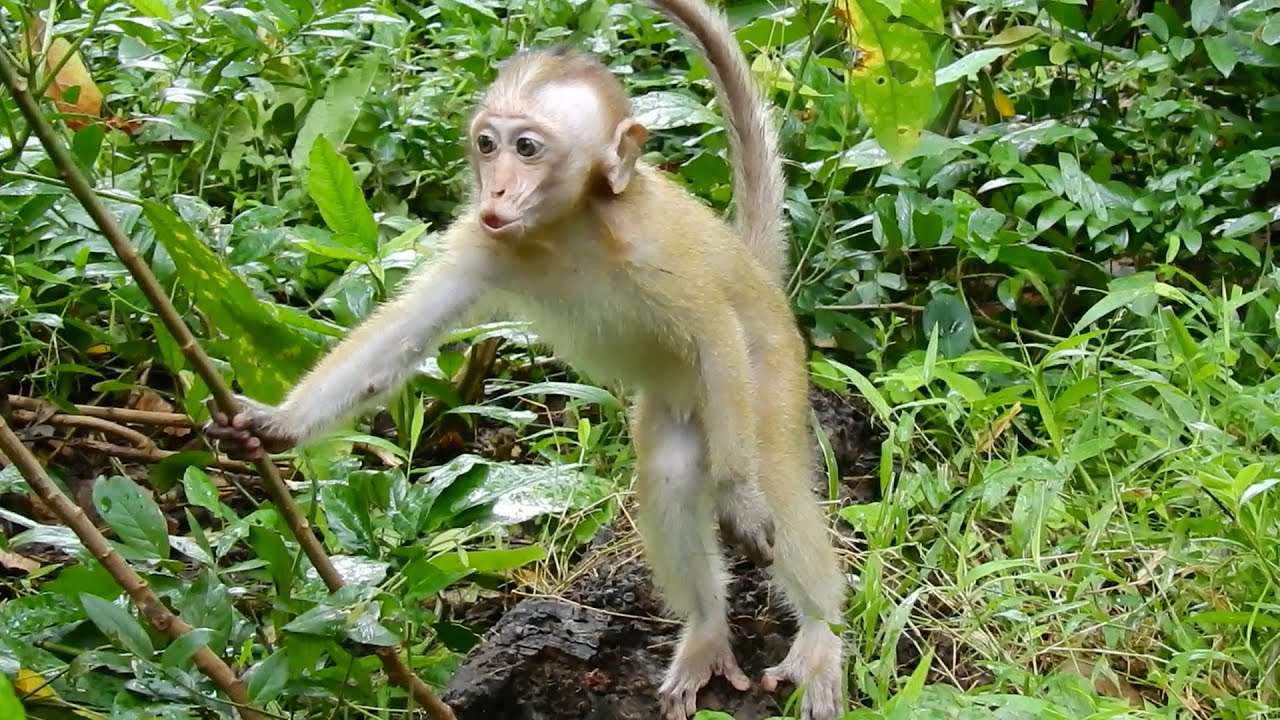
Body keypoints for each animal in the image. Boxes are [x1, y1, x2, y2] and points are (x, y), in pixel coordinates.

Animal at [204, 1, 847, 718]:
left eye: (528, 148)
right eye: (488, 144)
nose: (497, 191)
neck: (566, 226)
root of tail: (762, 275)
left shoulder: (651, 249)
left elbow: (713, 331)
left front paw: (737, 498)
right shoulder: (482, 242)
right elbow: (396, 343)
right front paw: (273, 425)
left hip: (767, 373)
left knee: (772, 462)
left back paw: (821, 631)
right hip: (678, 400)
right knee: (671, 470)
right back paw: (707, 631)